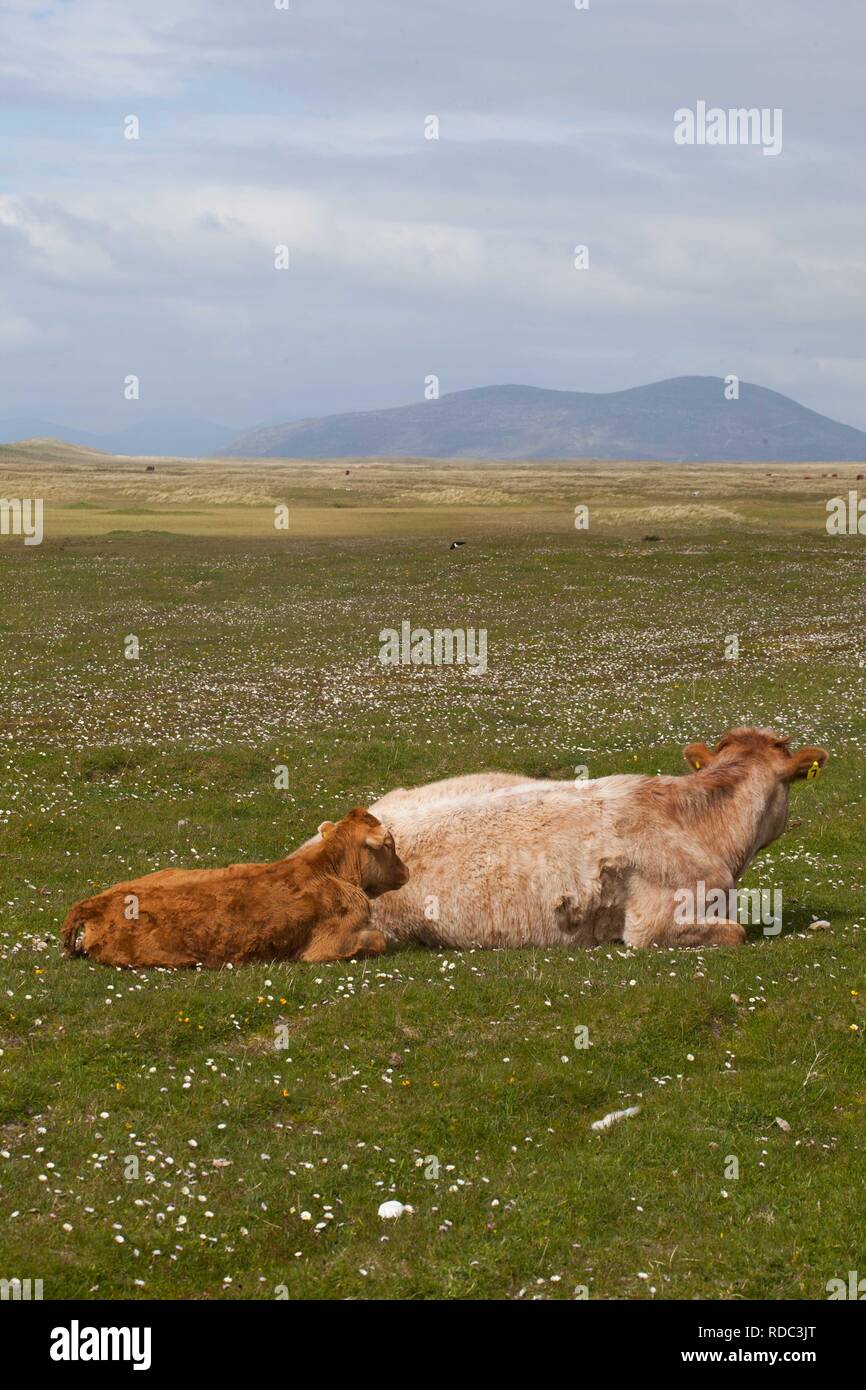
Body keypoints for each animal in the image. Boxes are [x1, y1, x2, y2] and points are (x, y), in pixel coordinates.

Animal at [60, 808, 409, 968]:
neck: (329, 869)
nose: (406, 871)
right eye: (390, 844)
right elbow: (379, 940)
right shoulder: (330, 945)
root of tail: (96, 902)